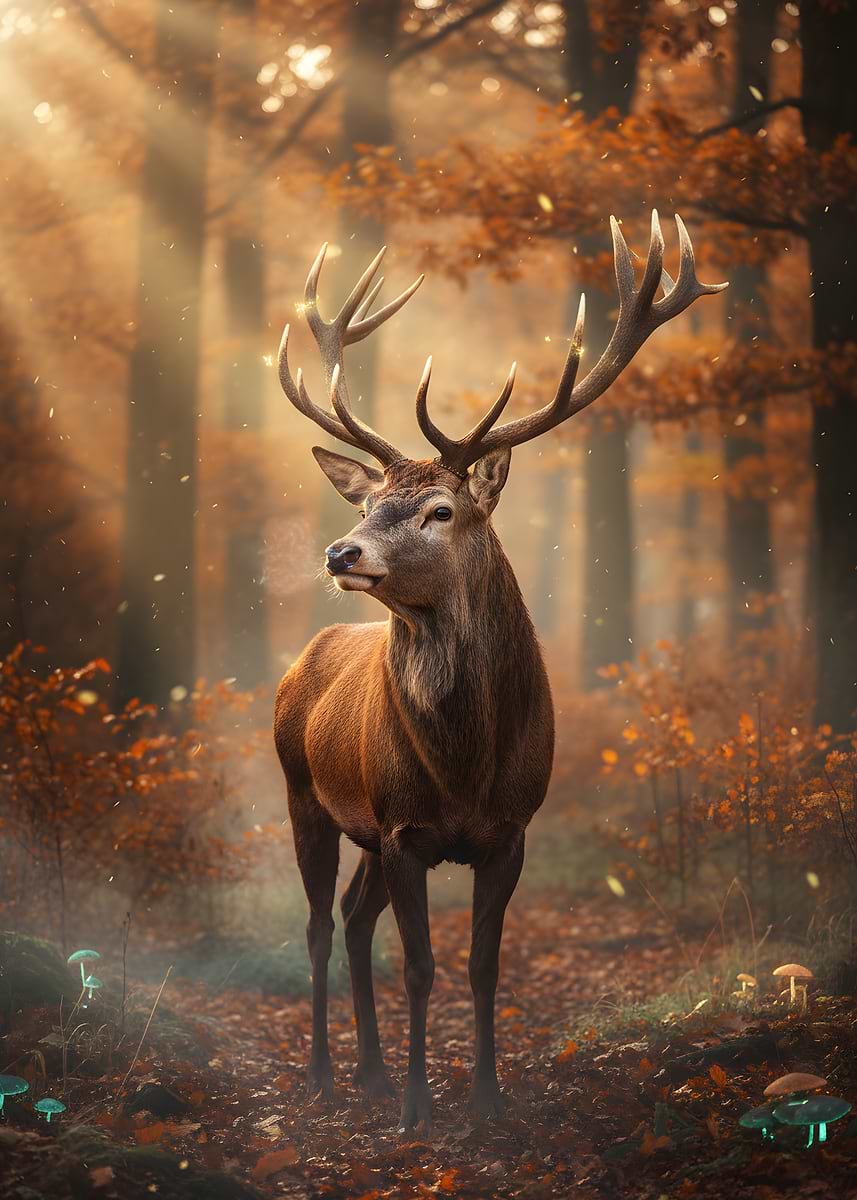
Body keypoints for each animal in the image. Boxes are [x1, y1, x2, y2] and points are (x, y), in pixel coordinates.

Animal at [273, 211, 726, 1131]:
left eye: (439, 510)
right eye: (365, 503)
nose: (341, 551)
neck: (462, 768)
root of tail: (298, 665)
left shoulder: (511, 830)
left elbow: (484, 967)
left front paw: (485, 1099)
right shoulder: (404, 829)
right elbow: (422, 968)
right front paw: (420, 1107)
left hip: (360, 825)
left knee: (351, 919)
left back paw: (369, 1073)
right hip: (304, 792)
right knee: (316, 924)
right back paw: (329, 1075)